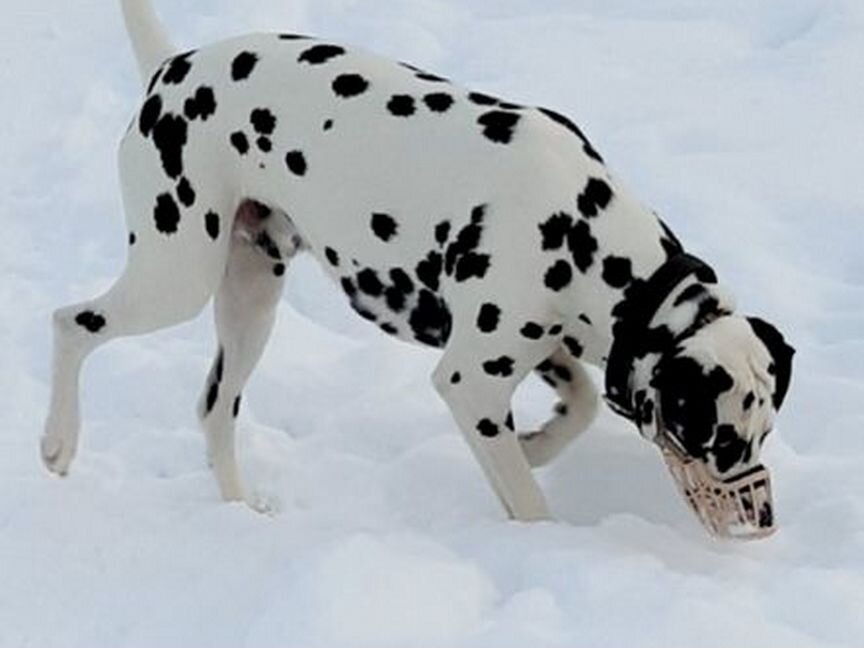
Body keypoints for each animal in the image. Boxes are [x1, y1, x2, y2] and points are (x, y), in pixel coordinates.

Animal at [44, 0, 792, 524]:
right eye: (721, 443)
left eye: (764, 435)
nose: (759, 513)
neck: (583, 229)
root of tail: (172, 68)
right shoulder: (469, 379)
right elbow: (529, 501)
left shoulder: (530, 345)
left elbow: (577, 406)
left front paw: (534, 445)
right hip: (176, 277)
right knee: (71, 323)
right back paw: (58, 444)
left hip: (249, 299)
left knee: (212, 409)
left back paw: (241, 513)